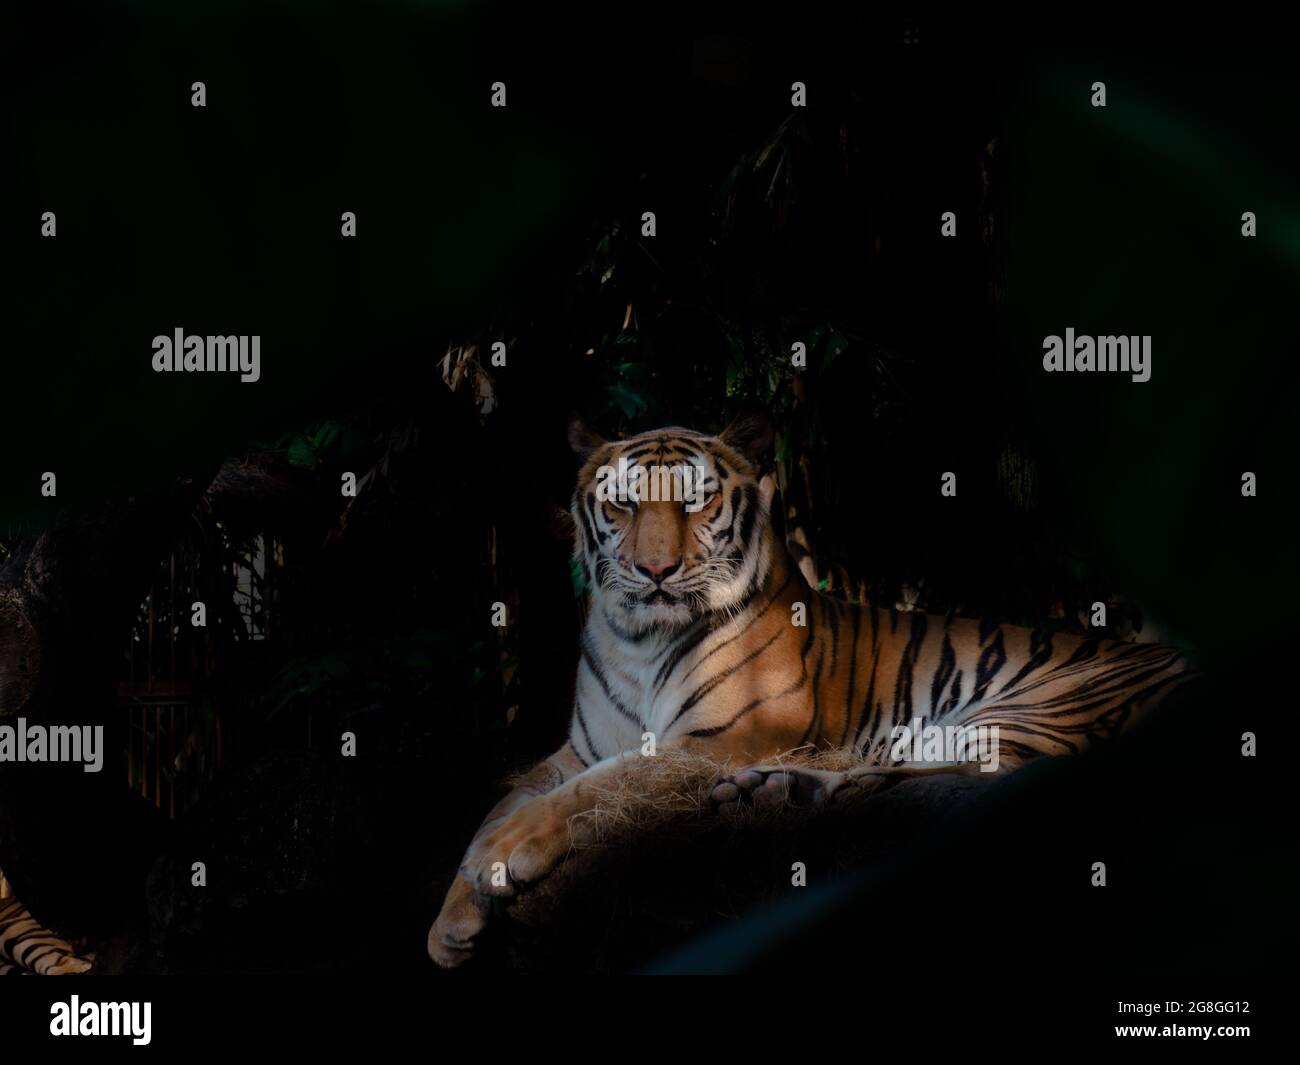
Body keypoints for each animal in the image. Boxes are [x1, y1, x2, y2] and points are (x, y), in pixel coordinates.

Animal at [427, 413, 1195, 967]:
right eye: (621, 505)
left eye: (698, 500)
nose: (655, 571)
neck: (637, 638)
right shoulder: (577, 750)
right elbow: (501, 801)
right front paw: (452, 920)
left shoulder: (725, 736)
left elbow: (599, 788)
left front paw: (503, 855)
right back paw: (779, 790)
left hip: (1033, 702)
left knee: (993, 774)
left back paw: (794, 787)